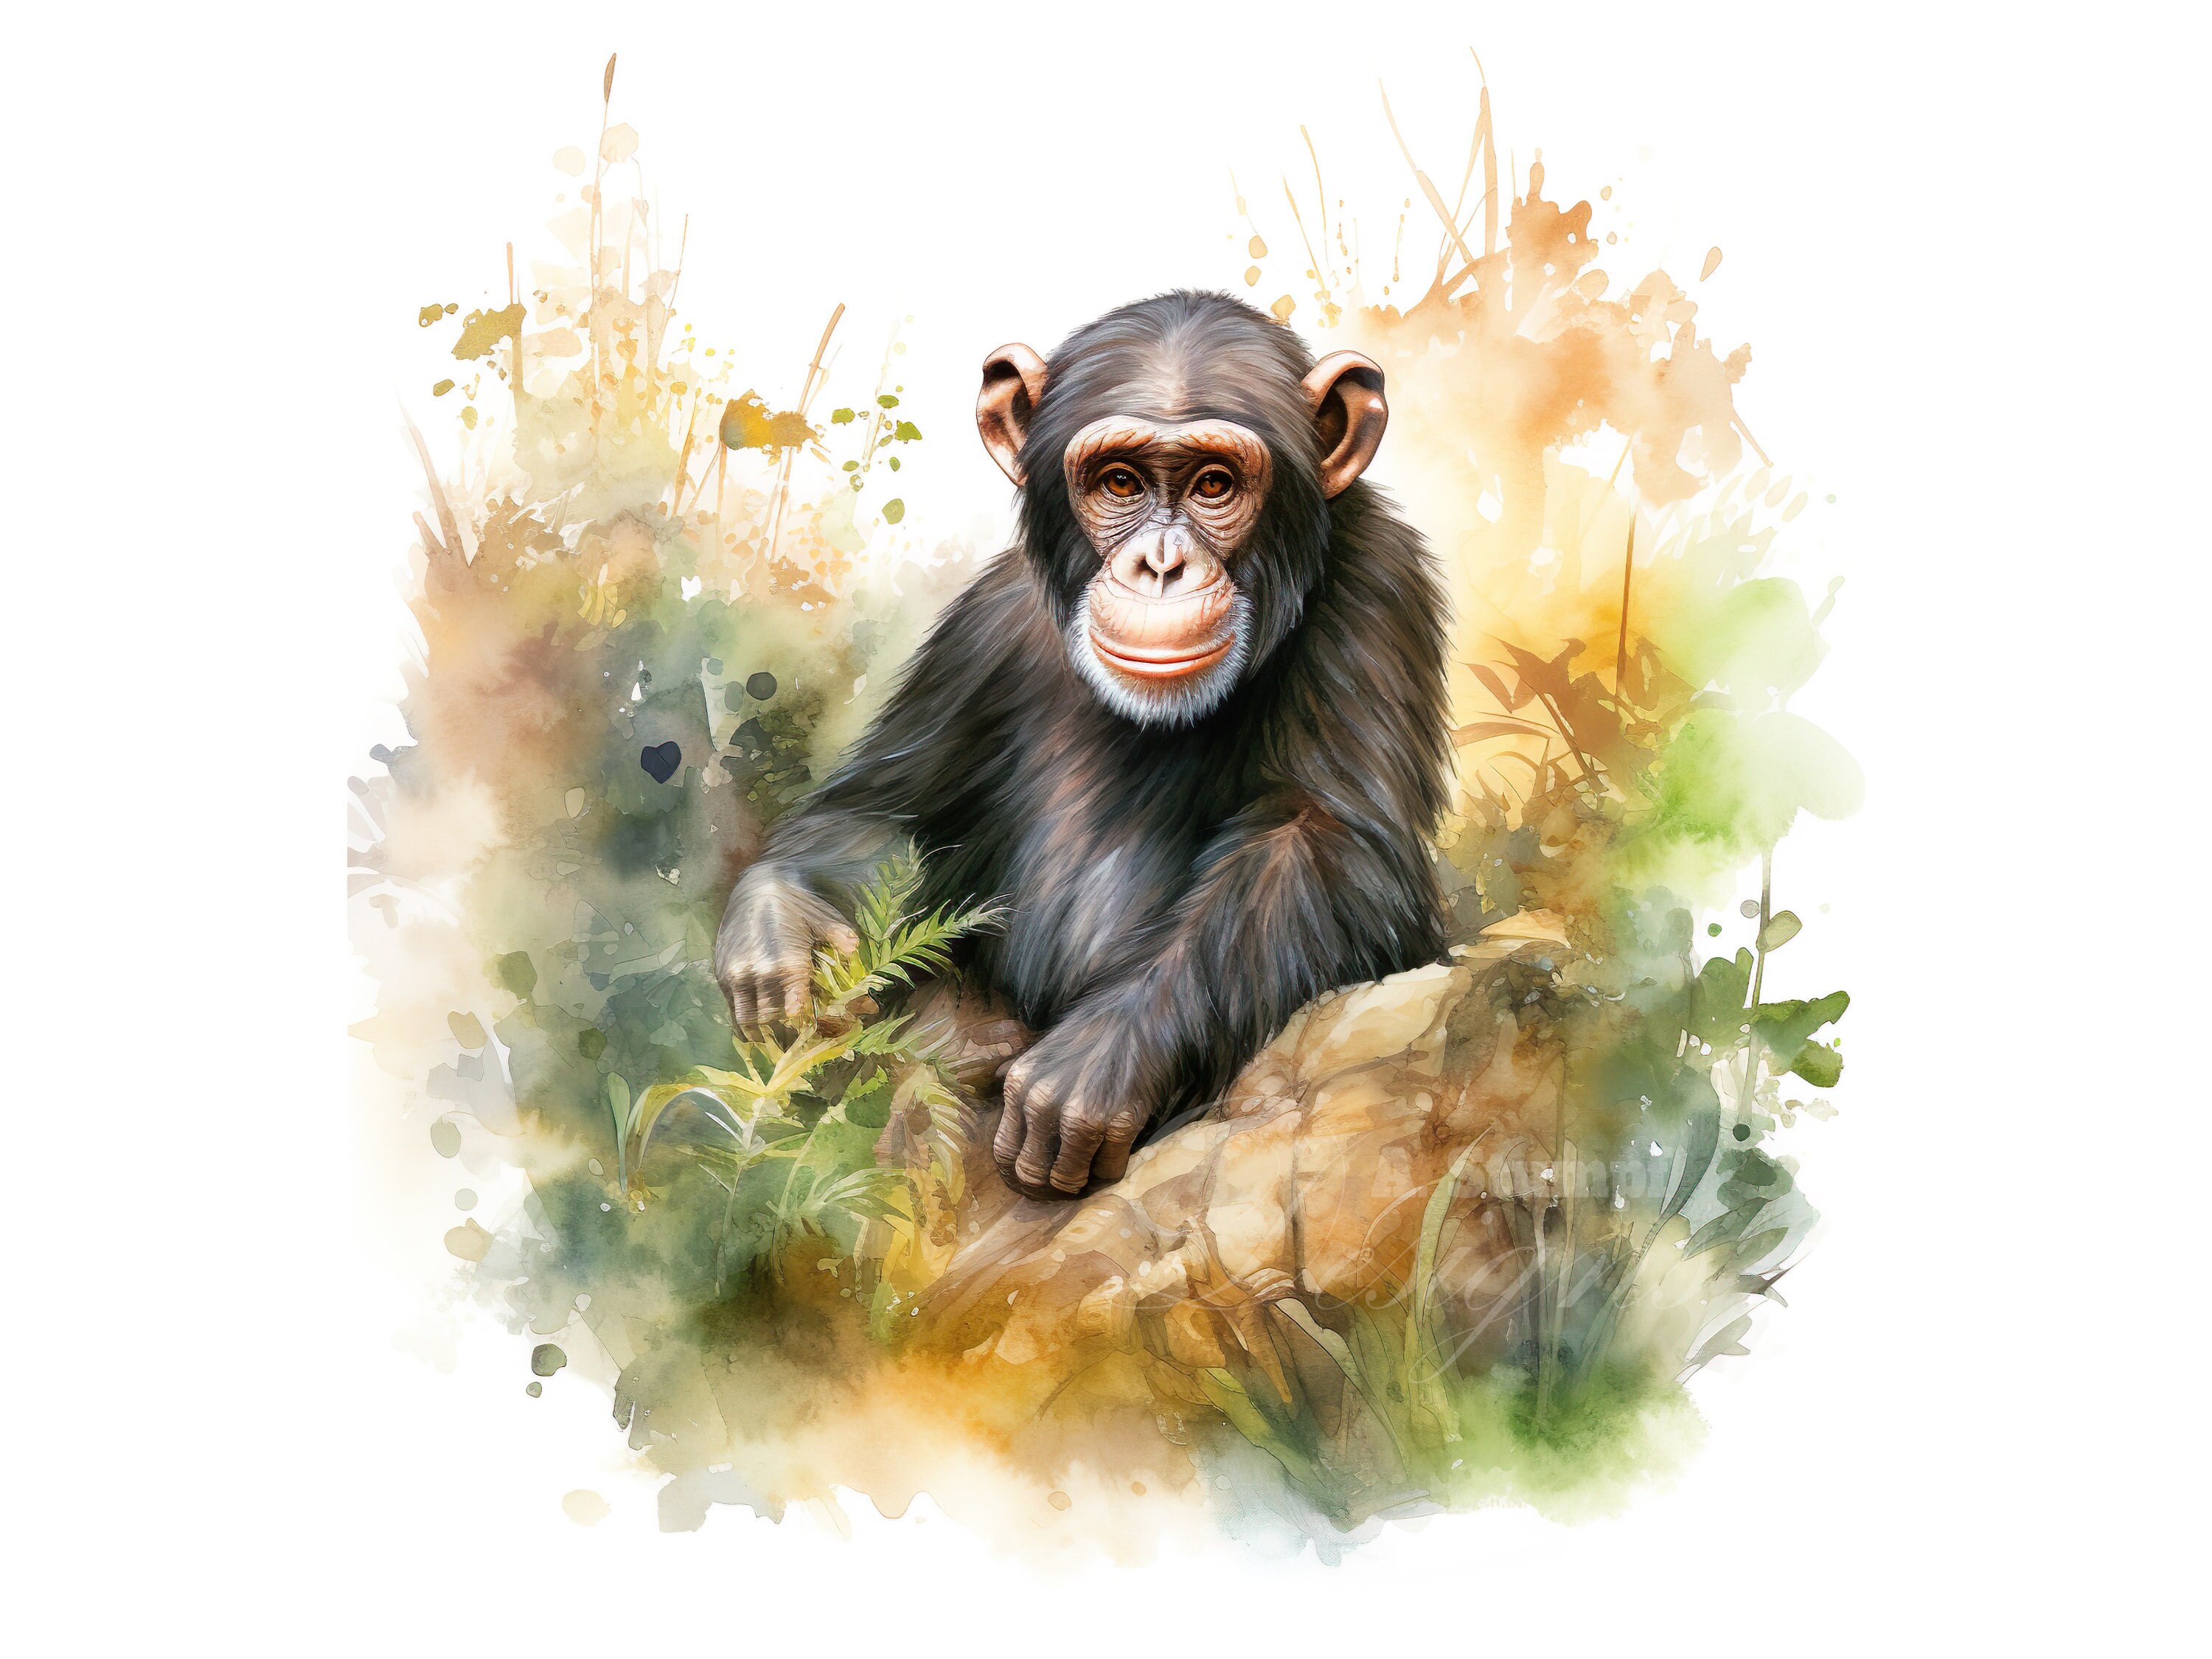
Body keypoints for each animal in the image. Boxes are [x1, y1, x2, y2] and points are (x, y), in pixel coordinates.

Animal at [716, 290, 1451, 1199]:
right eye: (1121, 482)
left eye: (1215, 484)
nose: (1161, 565)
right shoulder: (985, 626)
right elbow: (885, 816)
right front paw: (781, 917)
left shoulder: (1381, 585)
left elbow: (1324, 838)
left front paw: (1105, 1056)